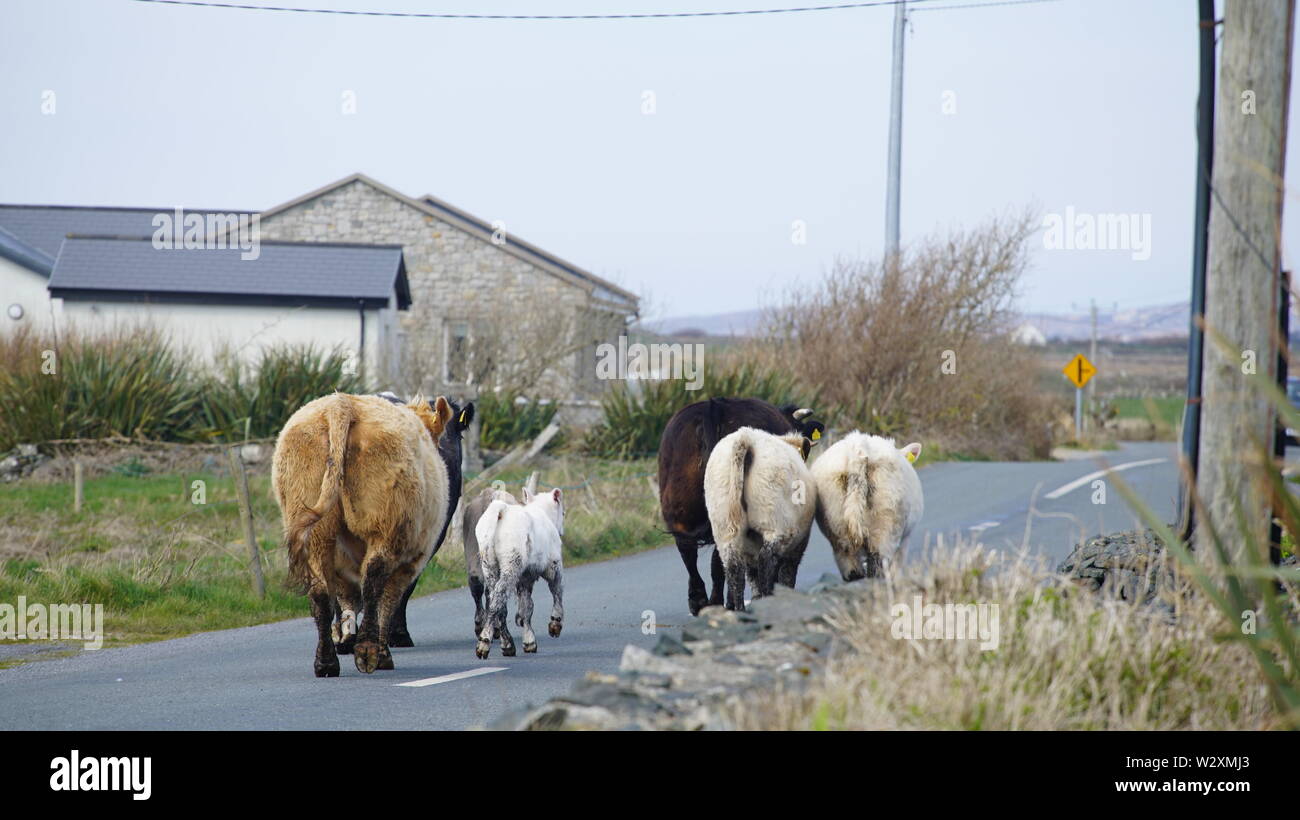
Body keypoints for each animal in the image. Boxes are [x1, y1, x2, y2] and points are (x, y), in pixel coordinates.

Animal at [274, 392, 453, 676]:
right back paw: (369, 652)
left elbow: (345, 601)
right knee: (373, 581)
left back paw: (326, 662)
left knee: (321, 592)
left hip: (314, 529)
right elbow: (388, 602)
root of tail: (341, 403)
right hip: (386, 528)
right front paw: (382, 653)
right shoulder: (412, 561)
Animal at [473, 485, 566, 658]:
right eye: (563, 513)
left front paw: (529, 641)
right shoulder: (554, 565)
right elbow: (556, 593)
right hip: (511, 563)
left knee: (497, 602)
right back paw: (484, 642)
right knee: (497, 600)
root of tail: (502, 510)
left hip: (488, 565)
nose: (561, 531)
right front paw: (555, 624)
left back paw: (507, 644)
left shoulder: (525, 577)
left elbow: (526, 607)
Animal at [704, 427, 817, 610]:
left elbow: (752, 576)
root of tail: (744, 438)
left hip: (725, 527)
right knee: (765, 564)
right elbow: (786, 575)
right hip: (776, 525)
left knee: (734, 570)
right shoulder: (798, 545)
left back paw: (741, 609)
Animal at [810, 432, 923, 581]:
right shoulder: (905, 539)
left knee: (849, 563)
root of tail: (858, 448)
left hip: (835, 520)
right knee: (878, 563)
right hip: (886, 522)